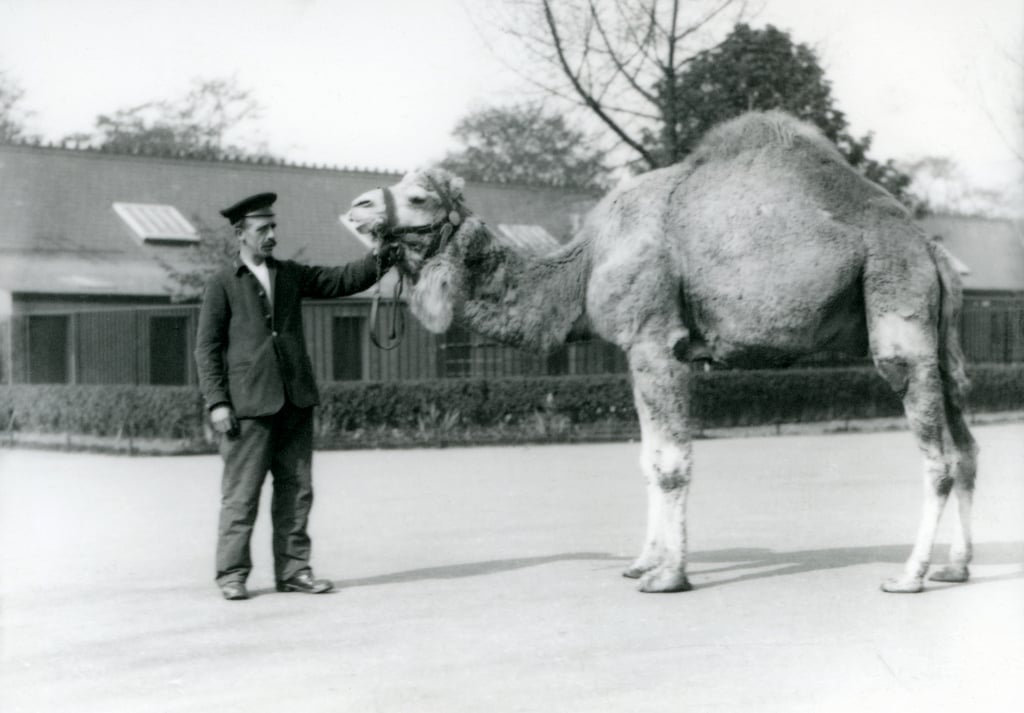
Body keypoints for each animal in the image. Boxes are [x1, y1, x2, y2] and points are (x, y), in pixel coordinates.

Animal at [345, 110, 978, 594]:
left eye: (417, 196)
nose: (355, 208)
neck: (586, 261)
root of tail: (929, 246)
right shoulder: (634, 352)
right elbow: (648, 460)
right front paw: (641, 562)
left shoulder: (656, 340)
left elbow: (671, 464)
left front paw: (669, 577)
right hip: (937, 335)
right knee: (966, 447)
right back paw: (956, 566)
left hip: (896, 296)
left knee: (937, 455)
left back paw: (909, 575)